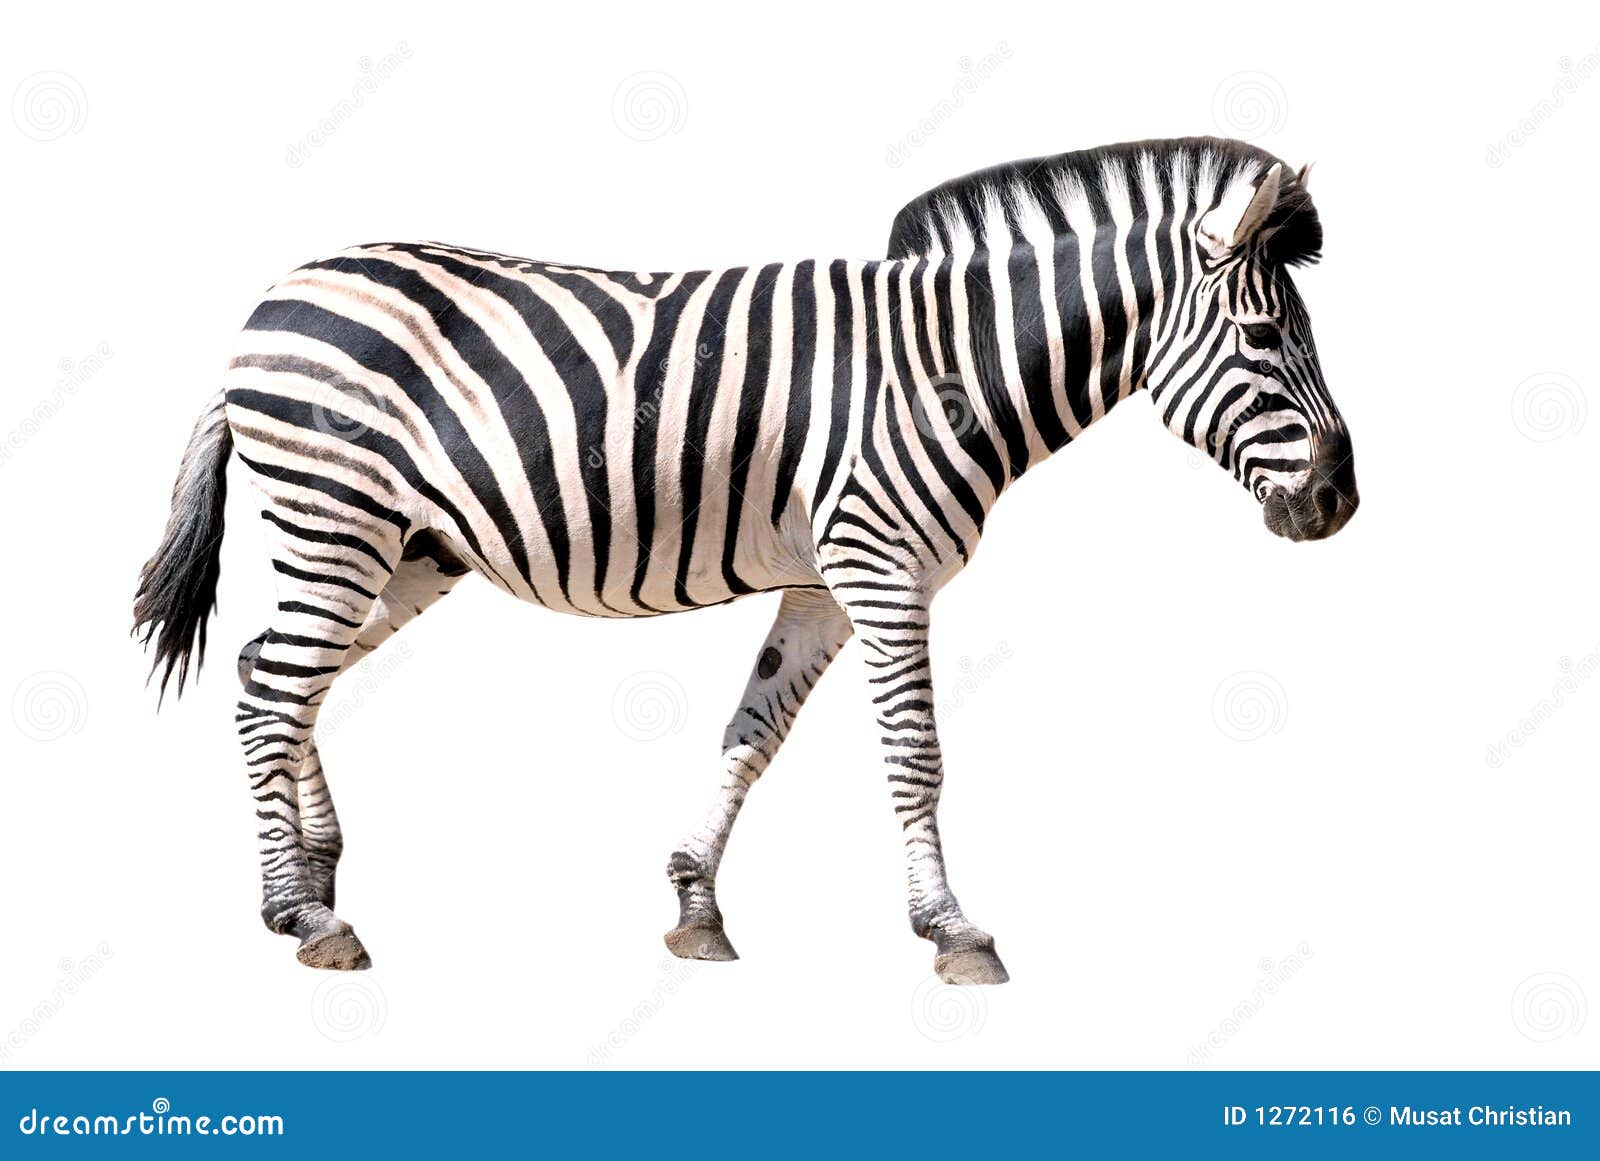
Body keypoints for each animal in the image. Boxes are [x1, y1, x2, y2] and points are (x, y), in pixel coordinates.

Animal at [133, 136, 1356, 985]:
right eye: (1264, 338)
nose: (1340, 503)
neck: (947, 364)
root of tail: (270, 300)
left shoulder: (823, 585)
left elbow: (750, 735)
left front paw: (695, 908)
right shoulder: (881, 566)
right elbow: (916, 756)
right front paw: (951, 930)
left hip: (405, 546)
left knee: (266, 672)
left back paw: (316, 869)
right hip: (334, 517)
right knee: (273, 690)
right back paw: (304, 914)